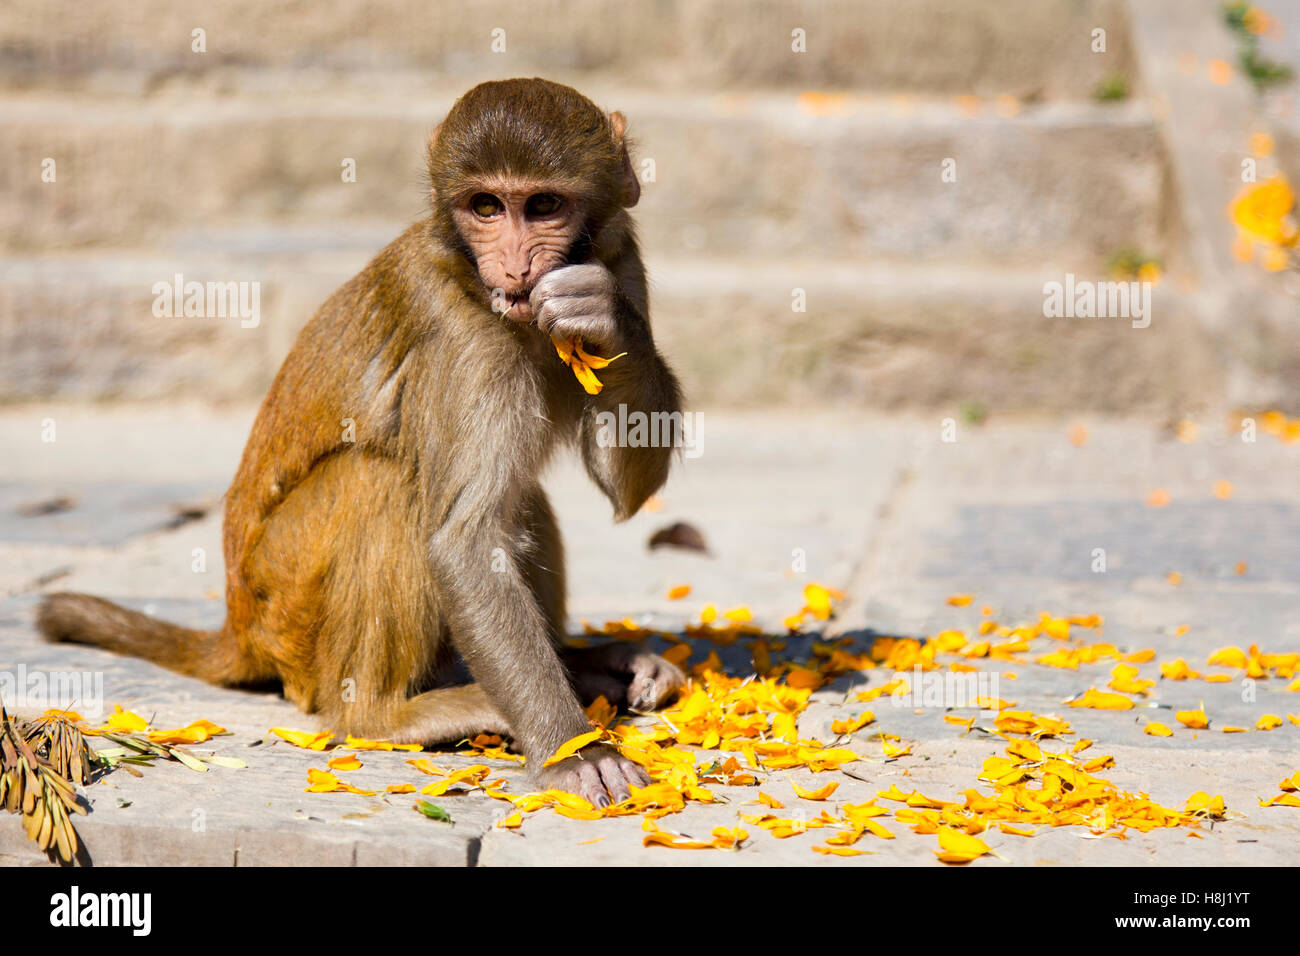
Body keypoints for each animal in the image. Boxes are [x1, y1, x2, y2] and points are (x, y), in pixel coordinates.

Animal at [37, 78, 687, 806]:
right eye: (486, 207)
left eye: (543, 205)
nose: (515, 264)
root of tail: (238, 625)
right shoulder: (463, 338)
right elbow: (462, 541)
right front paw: (574, 753)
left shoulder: (620, 260)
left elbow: (623, 485)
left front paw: (602, 319)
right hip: (286, 604)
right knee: (381, 480)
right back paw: (381, 715)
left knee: (516, 495)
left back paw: (584, 667)